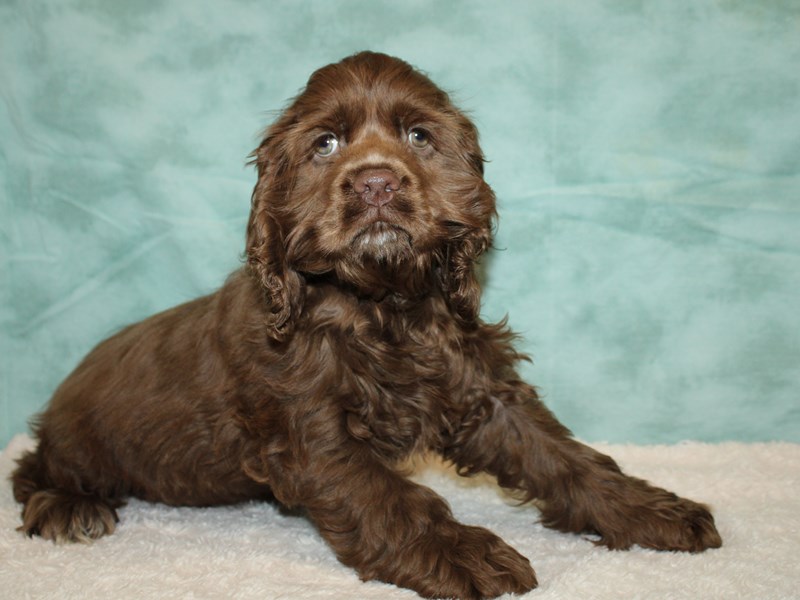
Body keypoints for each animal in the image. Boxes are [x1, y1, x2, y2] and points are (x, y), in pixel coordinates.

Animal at [12, 51, 721, 599]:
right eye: (325, 144)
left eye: (418, 137)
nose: (376, 183)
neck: (382, 305)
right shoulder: (312, 431)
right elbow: (392, 499)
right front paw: (466, 554)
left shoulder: (481, 391)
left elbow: (561, 454)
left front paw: (653, 511)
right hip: (81, 442)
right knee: (32, 467)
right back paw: (69, 509)